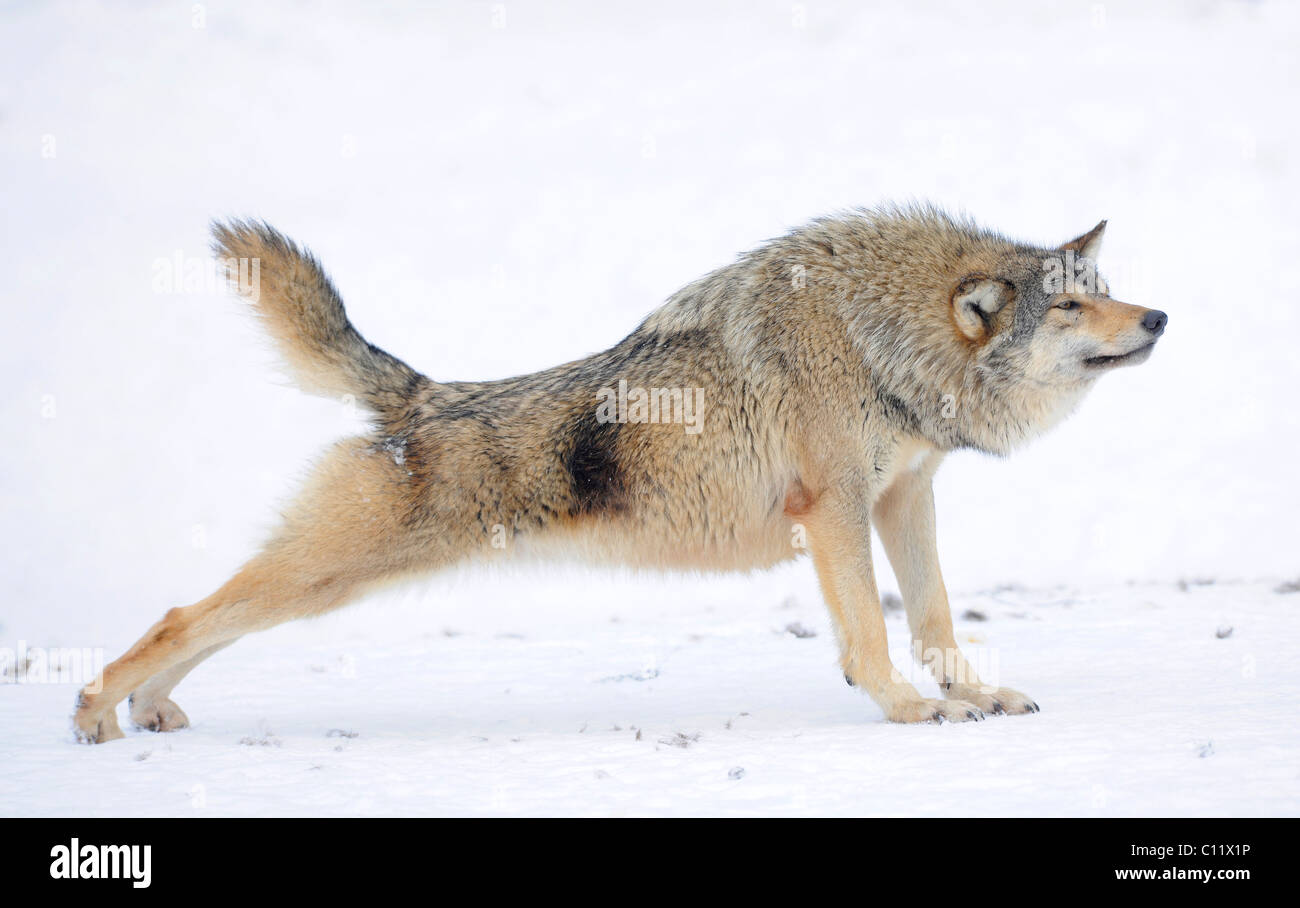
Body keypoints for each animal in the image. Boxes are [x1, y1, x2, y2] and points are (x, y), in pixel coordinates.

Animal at [73, 204, 1167, 742]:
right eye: (1069, 307)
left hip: (318, 583)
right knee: (179, 615)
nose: (1158, 316)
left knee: (200, 622)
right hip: (325, 575)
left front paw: (975, 695)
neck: (877, 340)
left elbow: (936, 617)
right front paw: (907, 710)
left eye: (1105, 290)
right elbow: (869, 635)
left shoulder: (905, 493)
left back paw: (149, 711)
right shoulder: (836, 507)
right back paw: (96, 715)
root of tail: (416, 394)